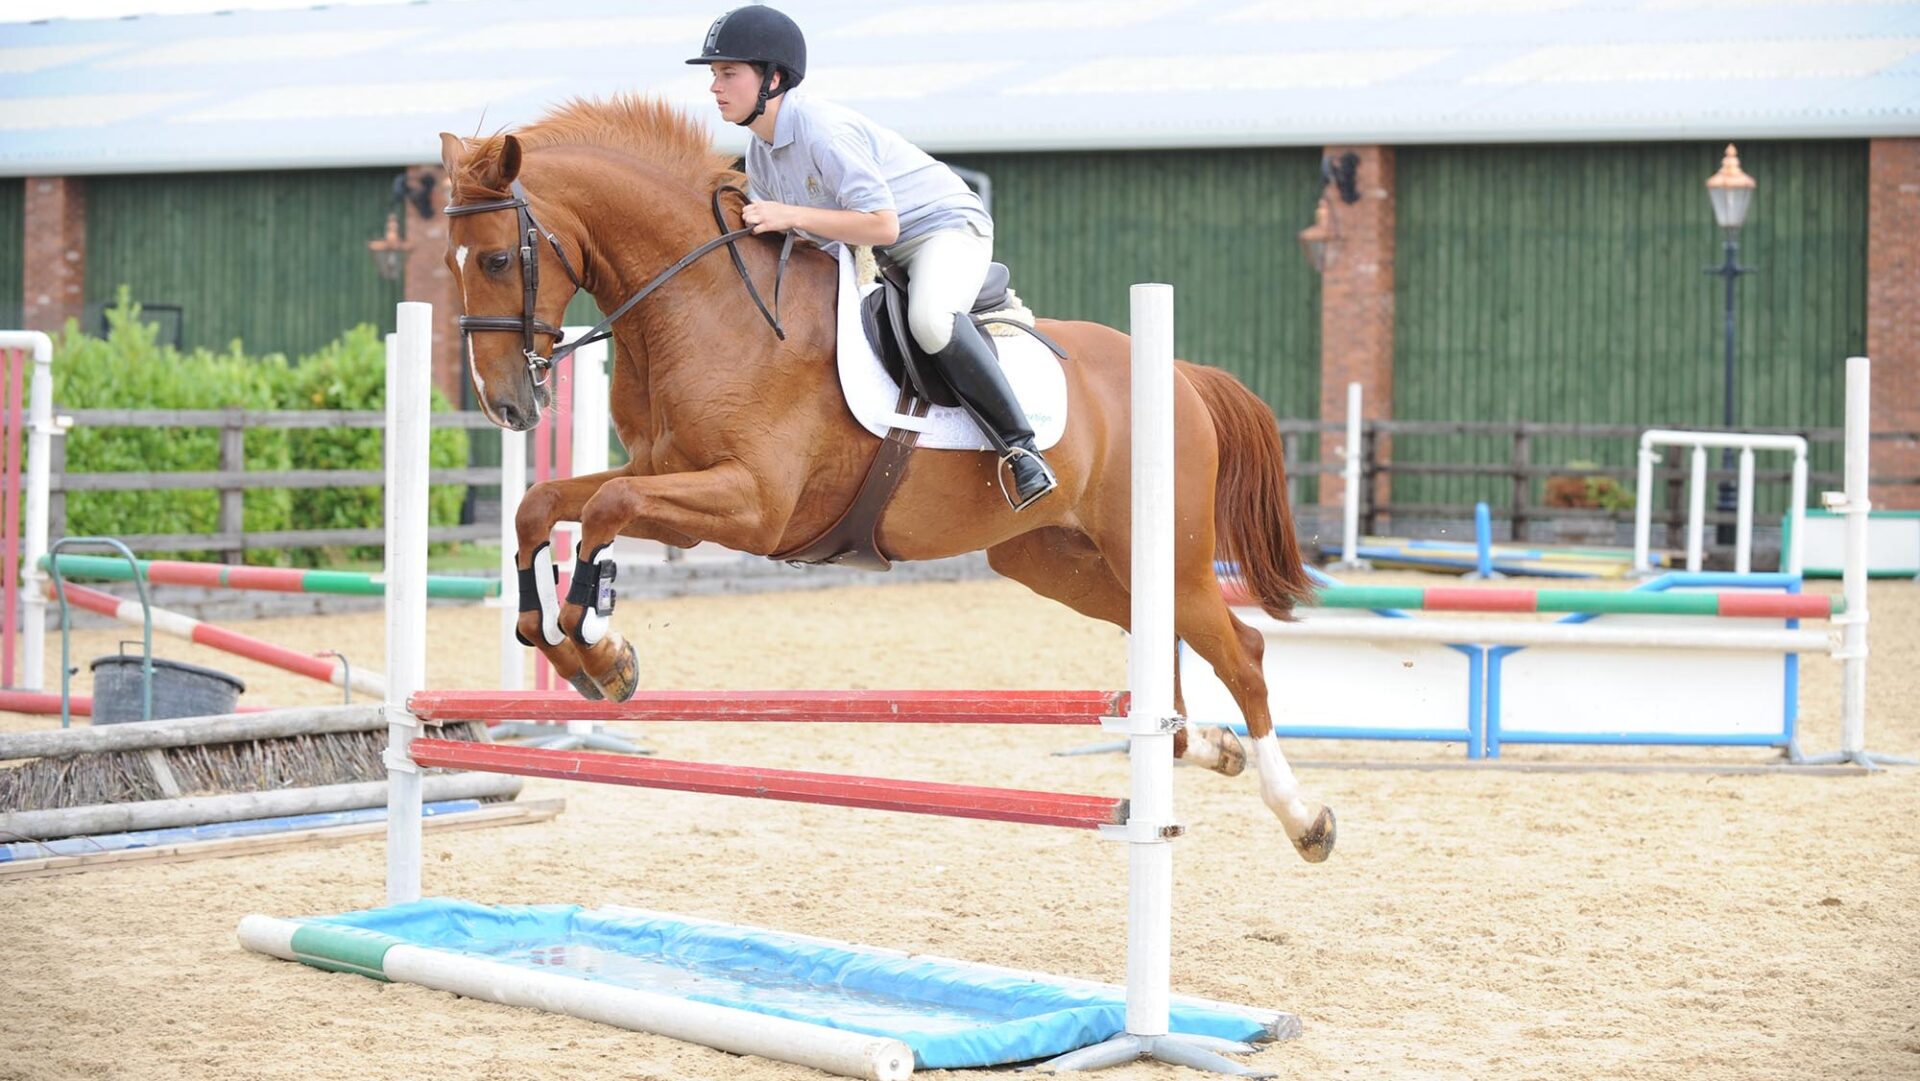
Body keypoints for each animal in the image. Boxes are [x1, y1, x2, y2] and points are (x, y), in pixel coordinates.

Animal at [436, 96, 1335, 863]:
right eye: (450, 264)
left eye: (496, 257)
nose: (505, 404)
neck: (700, 301)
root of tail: (1180, 372)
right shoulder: (674, 482)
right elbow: (544, 505)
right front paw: (562, 639)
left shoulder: (751, 504)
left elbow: (606, 509)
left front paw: (600, 647)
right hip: (1055, 558)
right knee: (1157, 643)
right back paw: (1205, 743)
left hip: (1167, 554)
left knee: (1245, 651)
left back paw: (1303, 816)